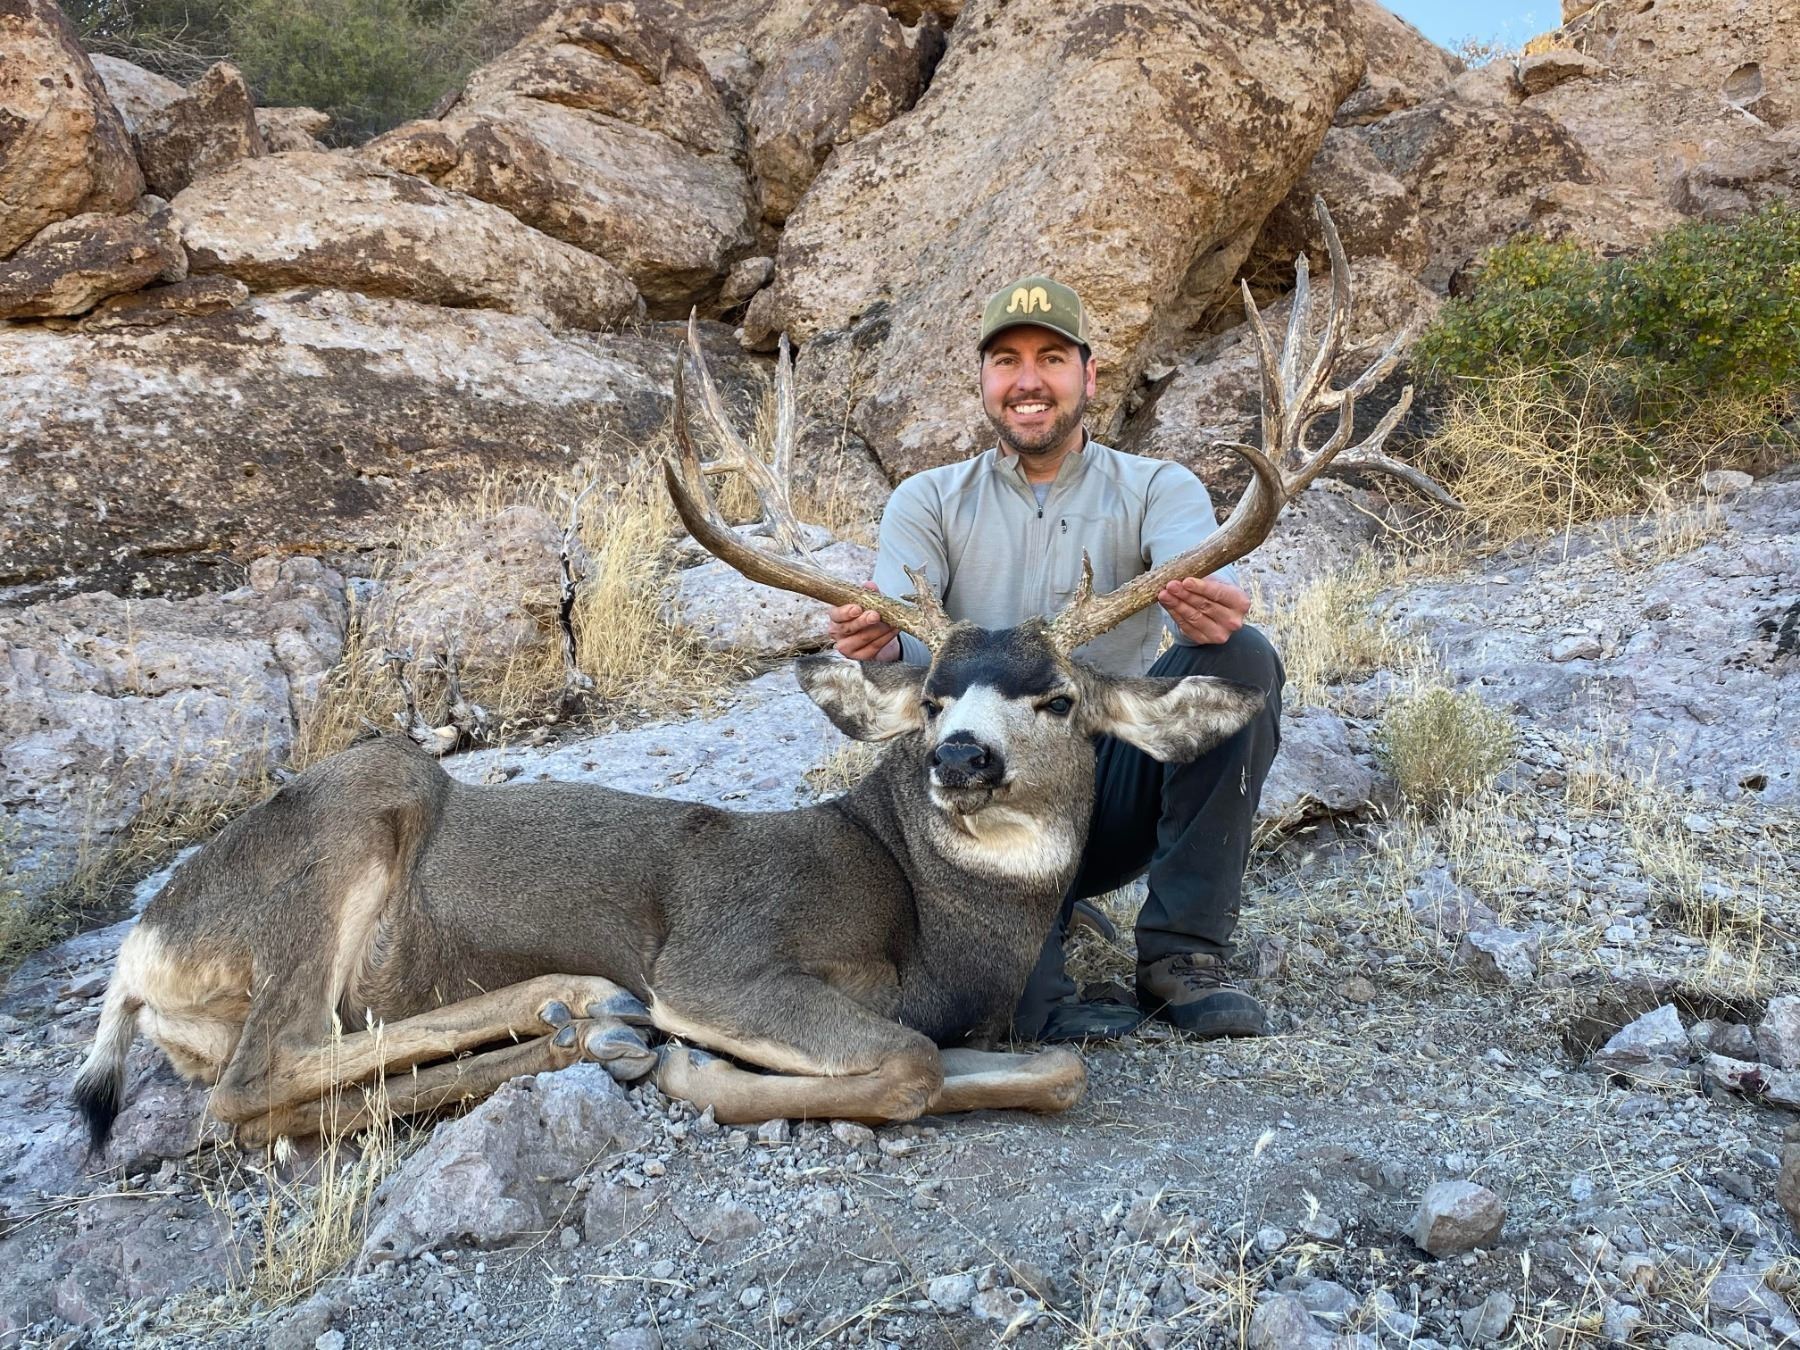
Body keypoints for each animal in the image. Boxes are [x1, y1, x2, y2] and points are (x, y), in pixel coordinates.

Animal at [72, 203, 1413, 1148]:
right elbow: (905, 1062)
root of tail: (142, 944)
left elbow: (1057, 1063)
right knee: (257, 1083)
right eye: (931, 698)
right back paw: (590, 1010)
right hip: (358, 806)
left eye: (1058, 698)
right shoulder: (725, 958)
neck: (940, 925)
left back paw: (574, 1021)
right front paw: (699, 1065)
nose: (959, 757)